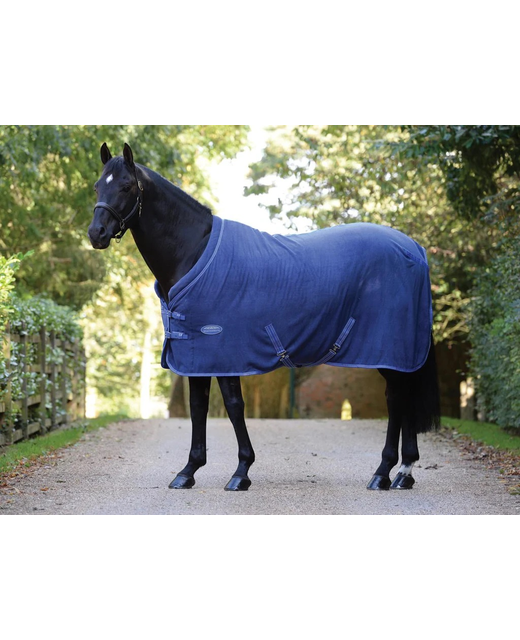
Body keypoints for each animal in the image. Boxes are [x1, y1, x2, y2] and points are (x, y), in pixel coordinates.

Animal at [88, 143, 441, 493]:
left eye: (126, 186)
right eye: (97, 187)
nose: (96, 233)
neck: (193, 252)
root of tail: (414, 248)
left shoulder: (224, 352)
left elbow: (233, 406)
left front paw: (241, 472)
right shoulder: (196, 355)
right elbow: (198, 407)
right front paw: (188, 471)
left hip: (388, 350)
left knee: (396, 399)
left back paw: (384, 473)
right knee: (403, 397)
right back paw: (403, 473)